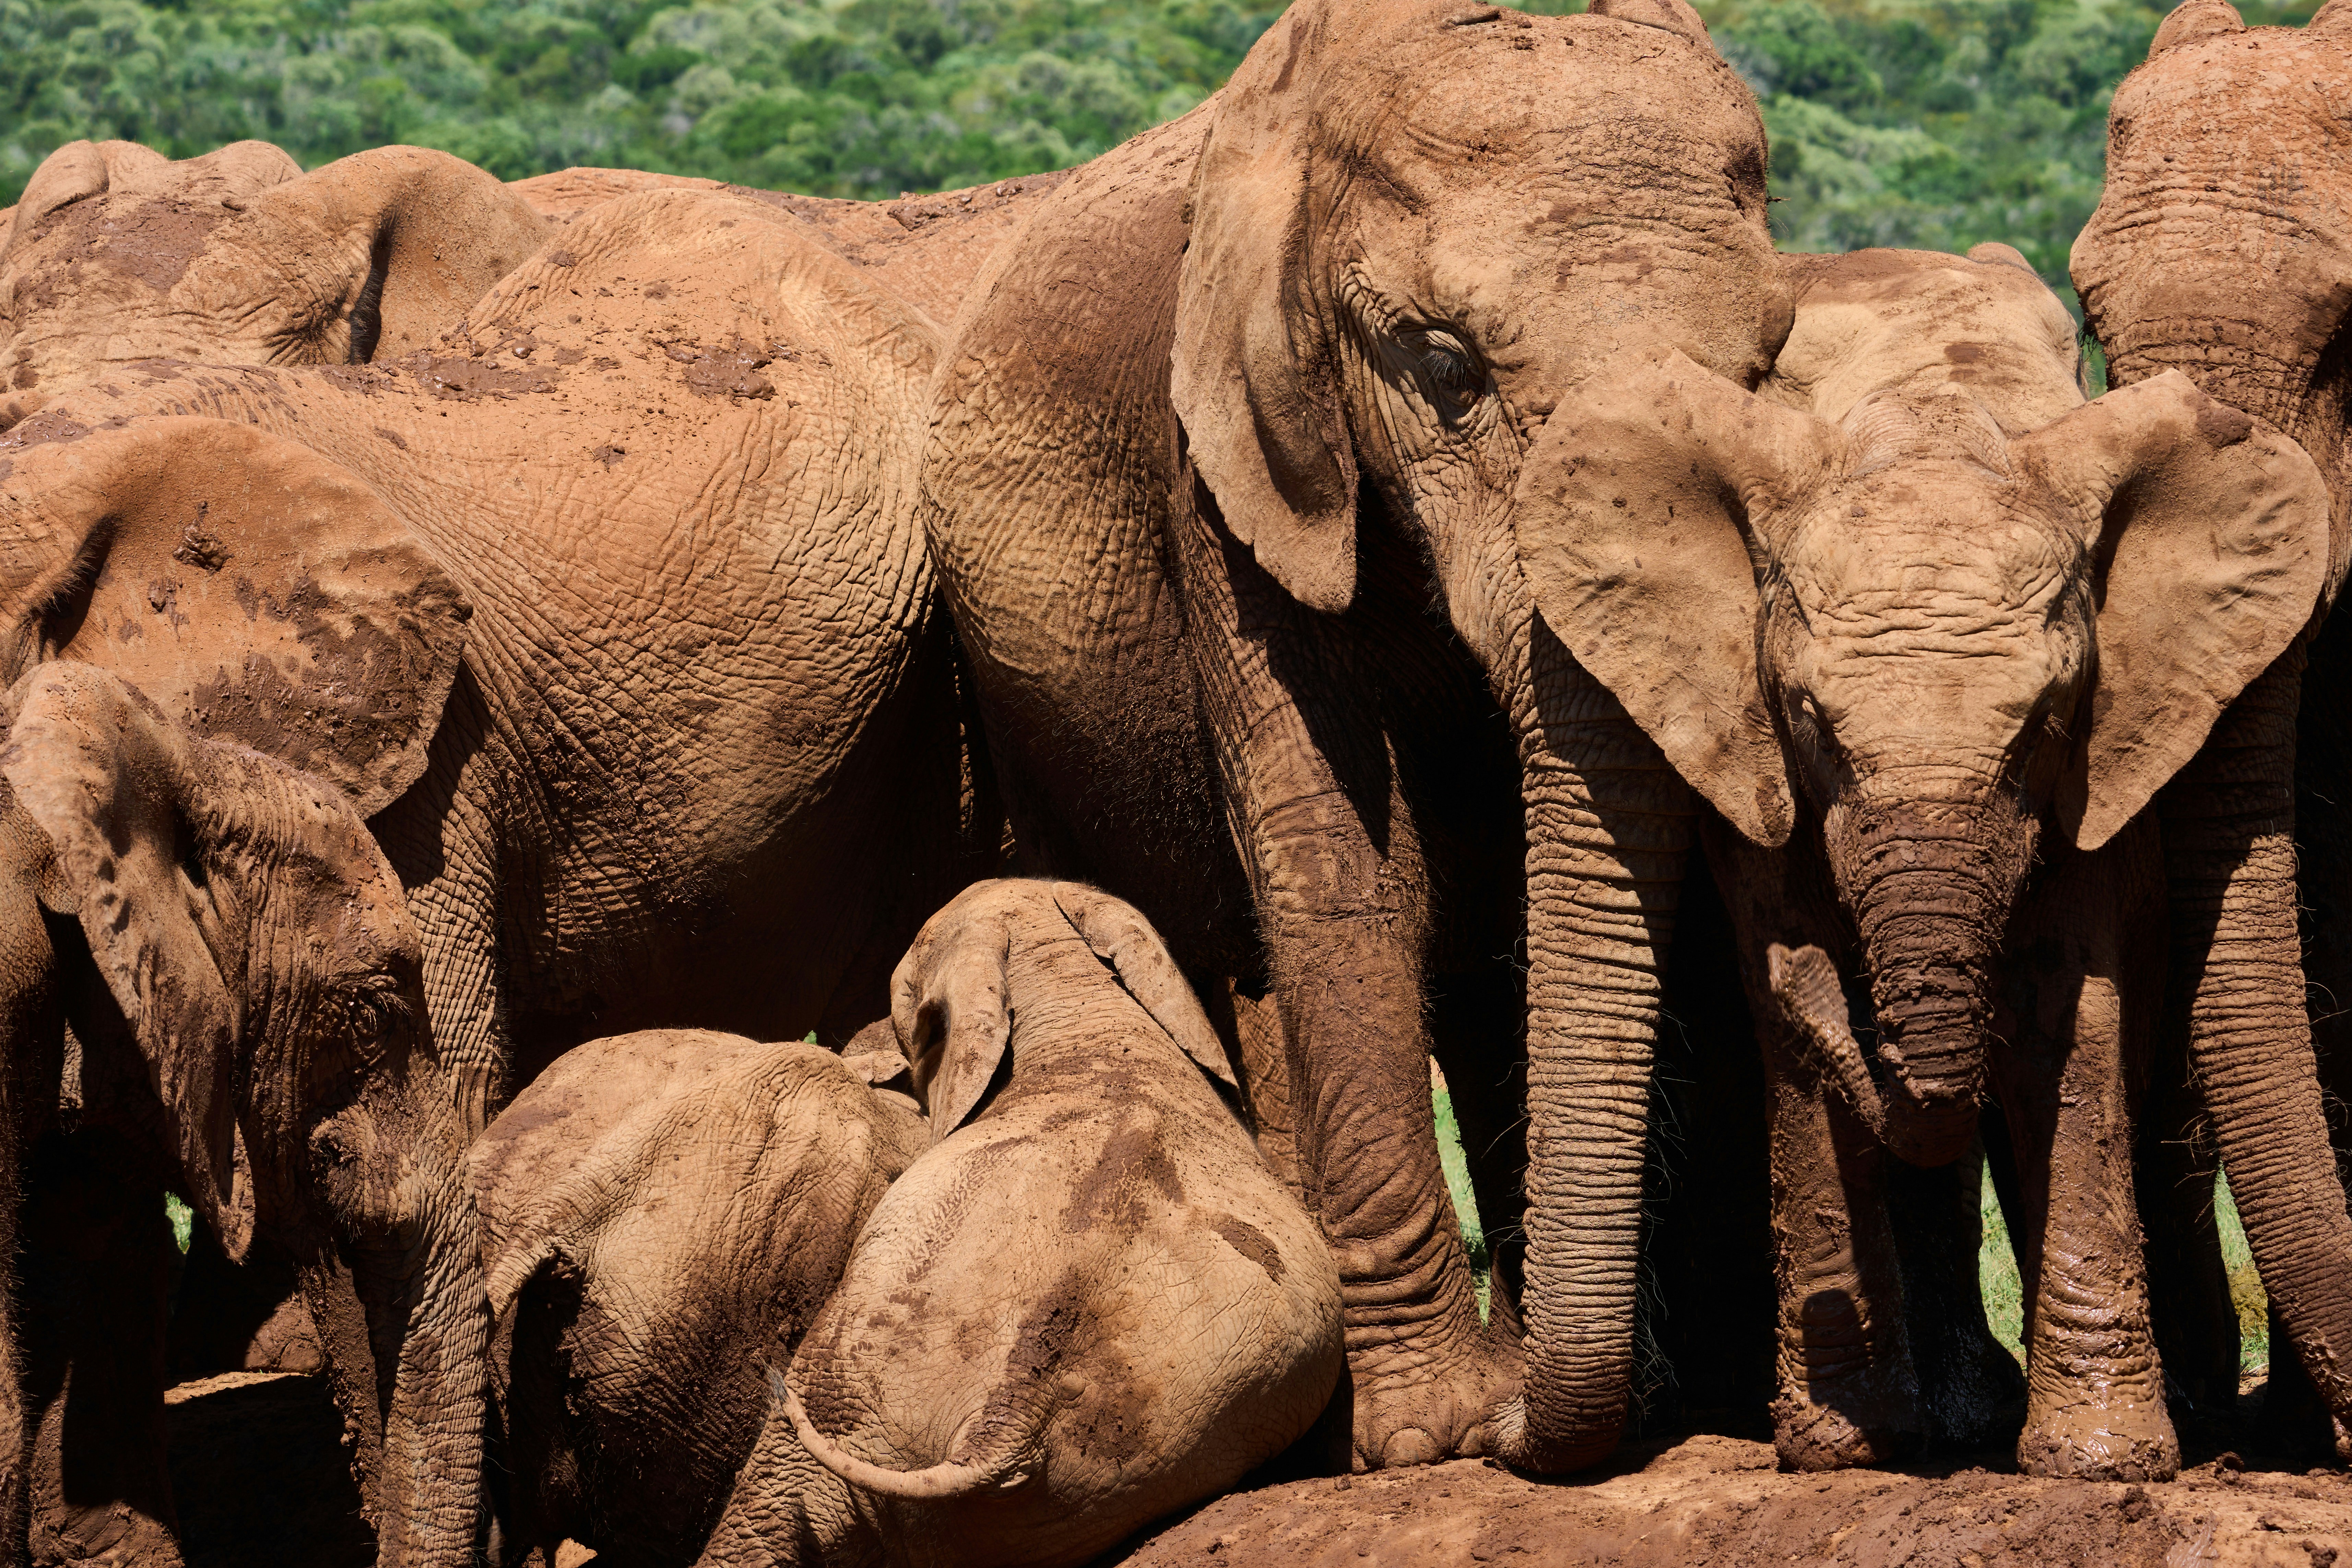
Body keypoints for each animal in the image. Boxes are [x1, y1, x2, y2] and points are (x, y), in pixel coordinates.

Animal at [913, 0, 1793, 1468]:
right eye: (1441, 369)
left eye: (1762, 371)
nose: (1521, 1422)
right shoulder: (1227, 462)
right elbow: (1335, 862)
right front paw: (1433, 1434)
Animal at [1584, 241, 2333, 1479]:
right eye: (1809, 722)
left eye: (2042, 723)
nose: (1833, 984)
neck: (1926, 420)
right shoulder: (1743, 745)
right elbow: (1782, 1019)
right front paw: (1841, 1451)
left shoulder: (2098, 763)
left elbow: (2065, 1015)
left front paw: (2096, 1465)